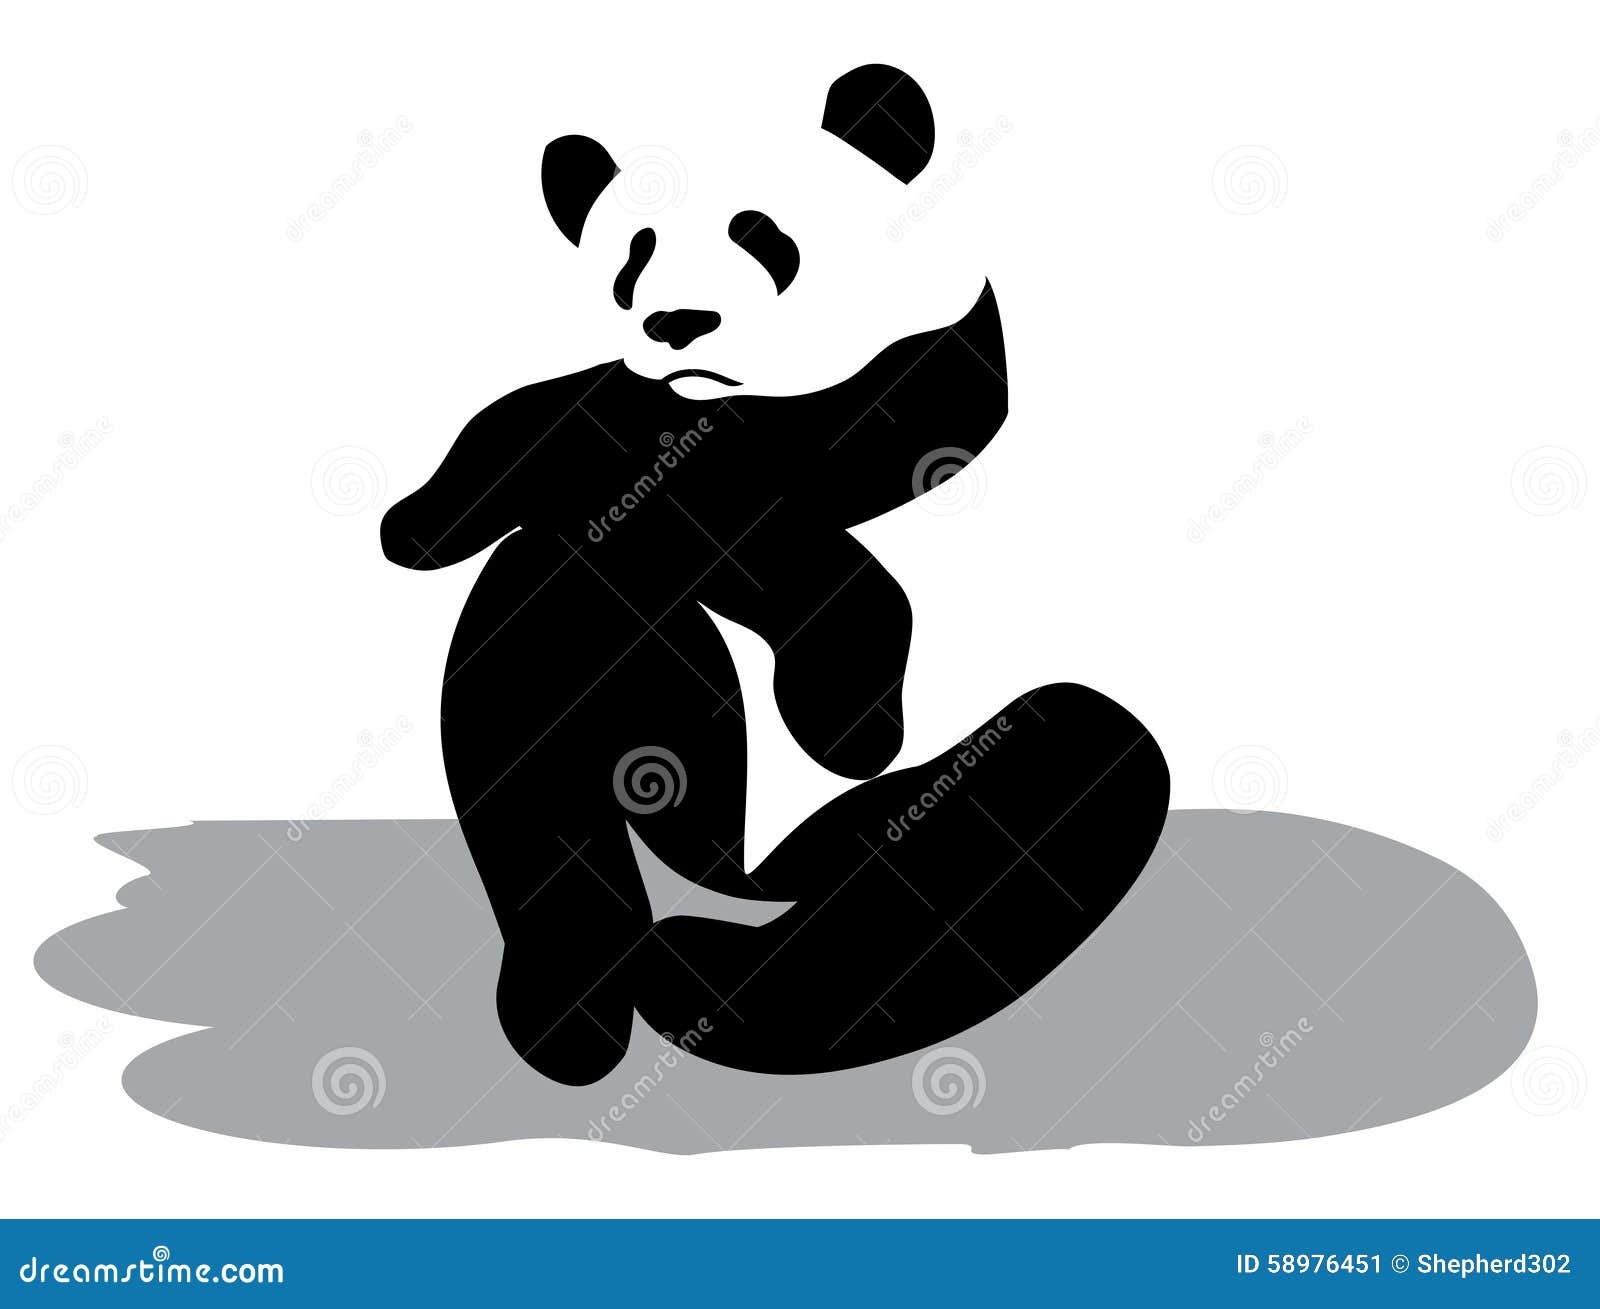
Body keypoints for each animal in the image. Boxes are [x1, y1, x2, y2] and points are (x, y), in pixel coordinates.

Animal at [381, 65, 1169, 1086]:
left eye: (760, 234)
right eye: (631, 258)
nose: (677, 323)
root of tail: (749, 862)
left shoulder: (916, 390)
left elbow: (760, 515)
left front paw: (845, 716)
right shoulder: (610, 438)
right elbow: (548, 451)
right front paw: (419, 523)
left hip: (988, 781)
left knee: (1033, 804)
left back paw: (705, 982)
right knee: (527, 749)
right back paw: (573, 1008)